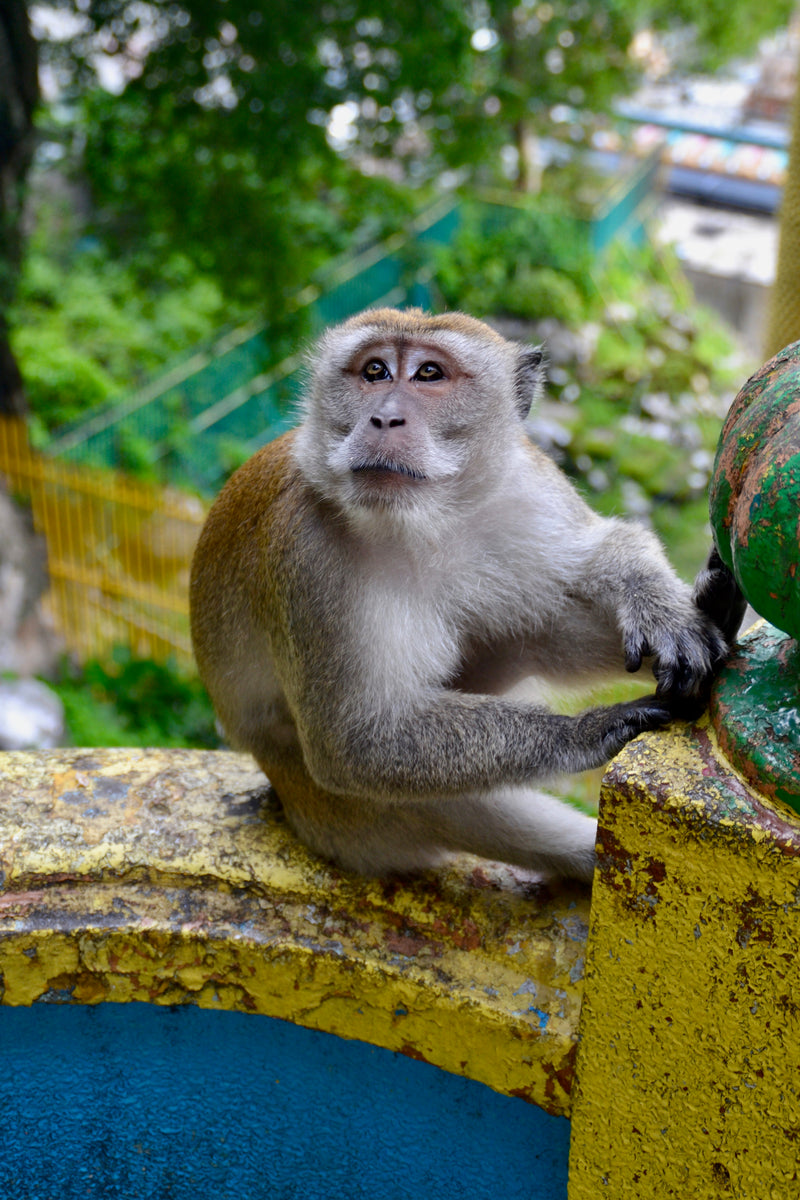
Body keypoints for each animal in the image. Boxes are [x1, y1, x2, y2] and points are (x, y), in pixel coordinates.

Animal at [190, 307, 742, 883]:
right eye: (374, 372)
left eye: (429, 374)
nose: (384, 419)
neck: (427, 515)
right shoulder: (307, 551)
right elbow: (355, 741)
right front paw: (589, 729)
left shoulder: (525, 477)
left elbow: (599, 550)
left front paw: (660, 606)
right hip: (348, 821)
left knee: (536, 622)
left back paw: (715, 619)